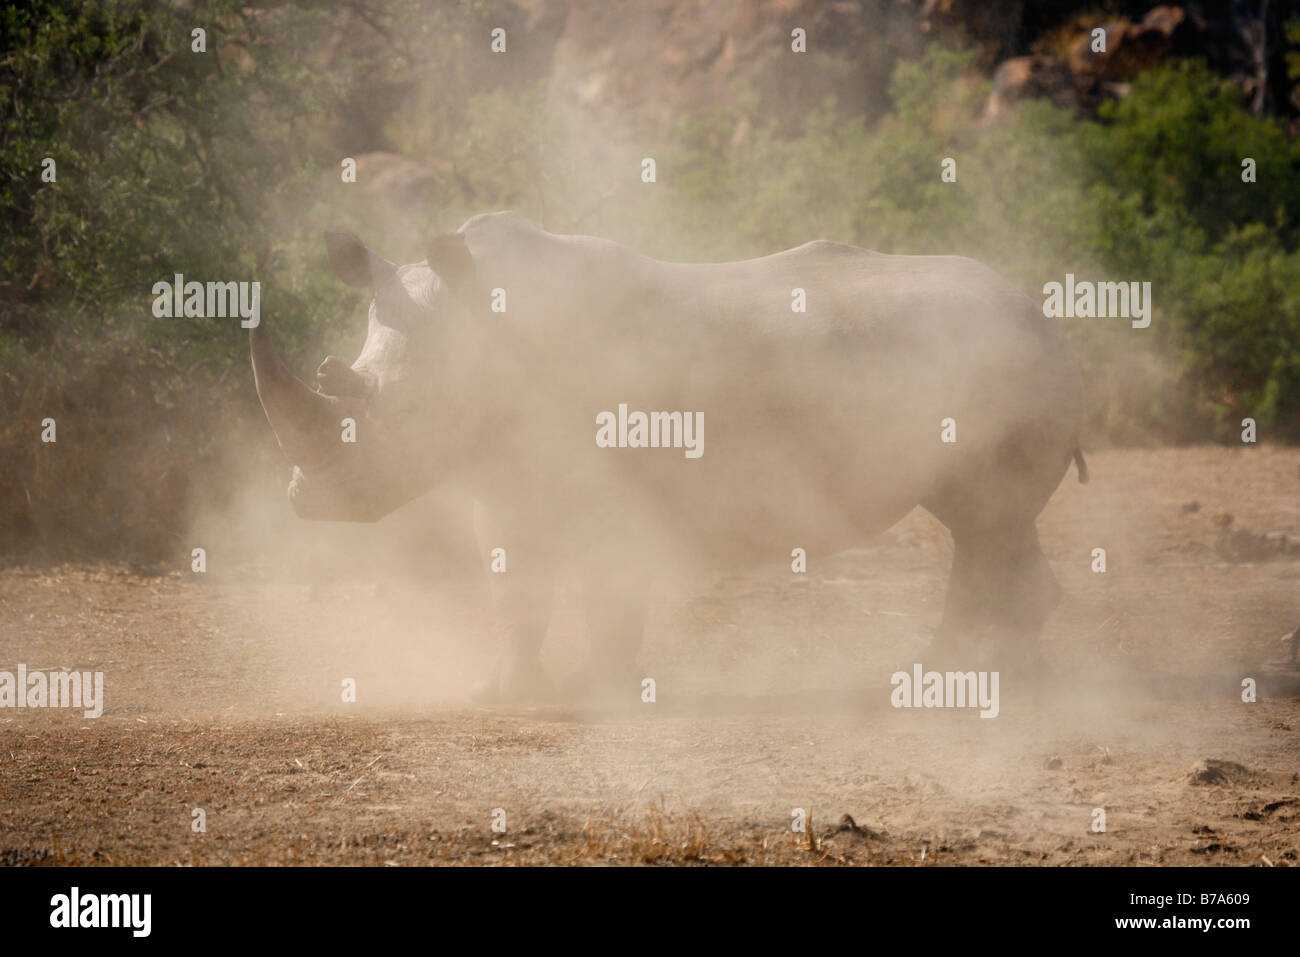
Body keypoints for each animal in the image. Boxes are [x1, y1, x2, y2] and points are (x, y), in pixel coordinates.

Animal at [251, 211, 1086, 703]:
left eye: (407, 414)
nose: (308, 501)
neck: (491, 326)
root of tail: (1043, 315)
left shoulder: (606, 481)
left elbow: (607, 588)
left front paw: (603, 690)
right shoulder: (504, 473)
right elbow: (514, 586)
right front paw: (502, 692)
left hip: (1001, 357)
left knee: (986, 519)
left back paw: (958, 680)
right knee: (988, 525)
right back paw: (978, 676)